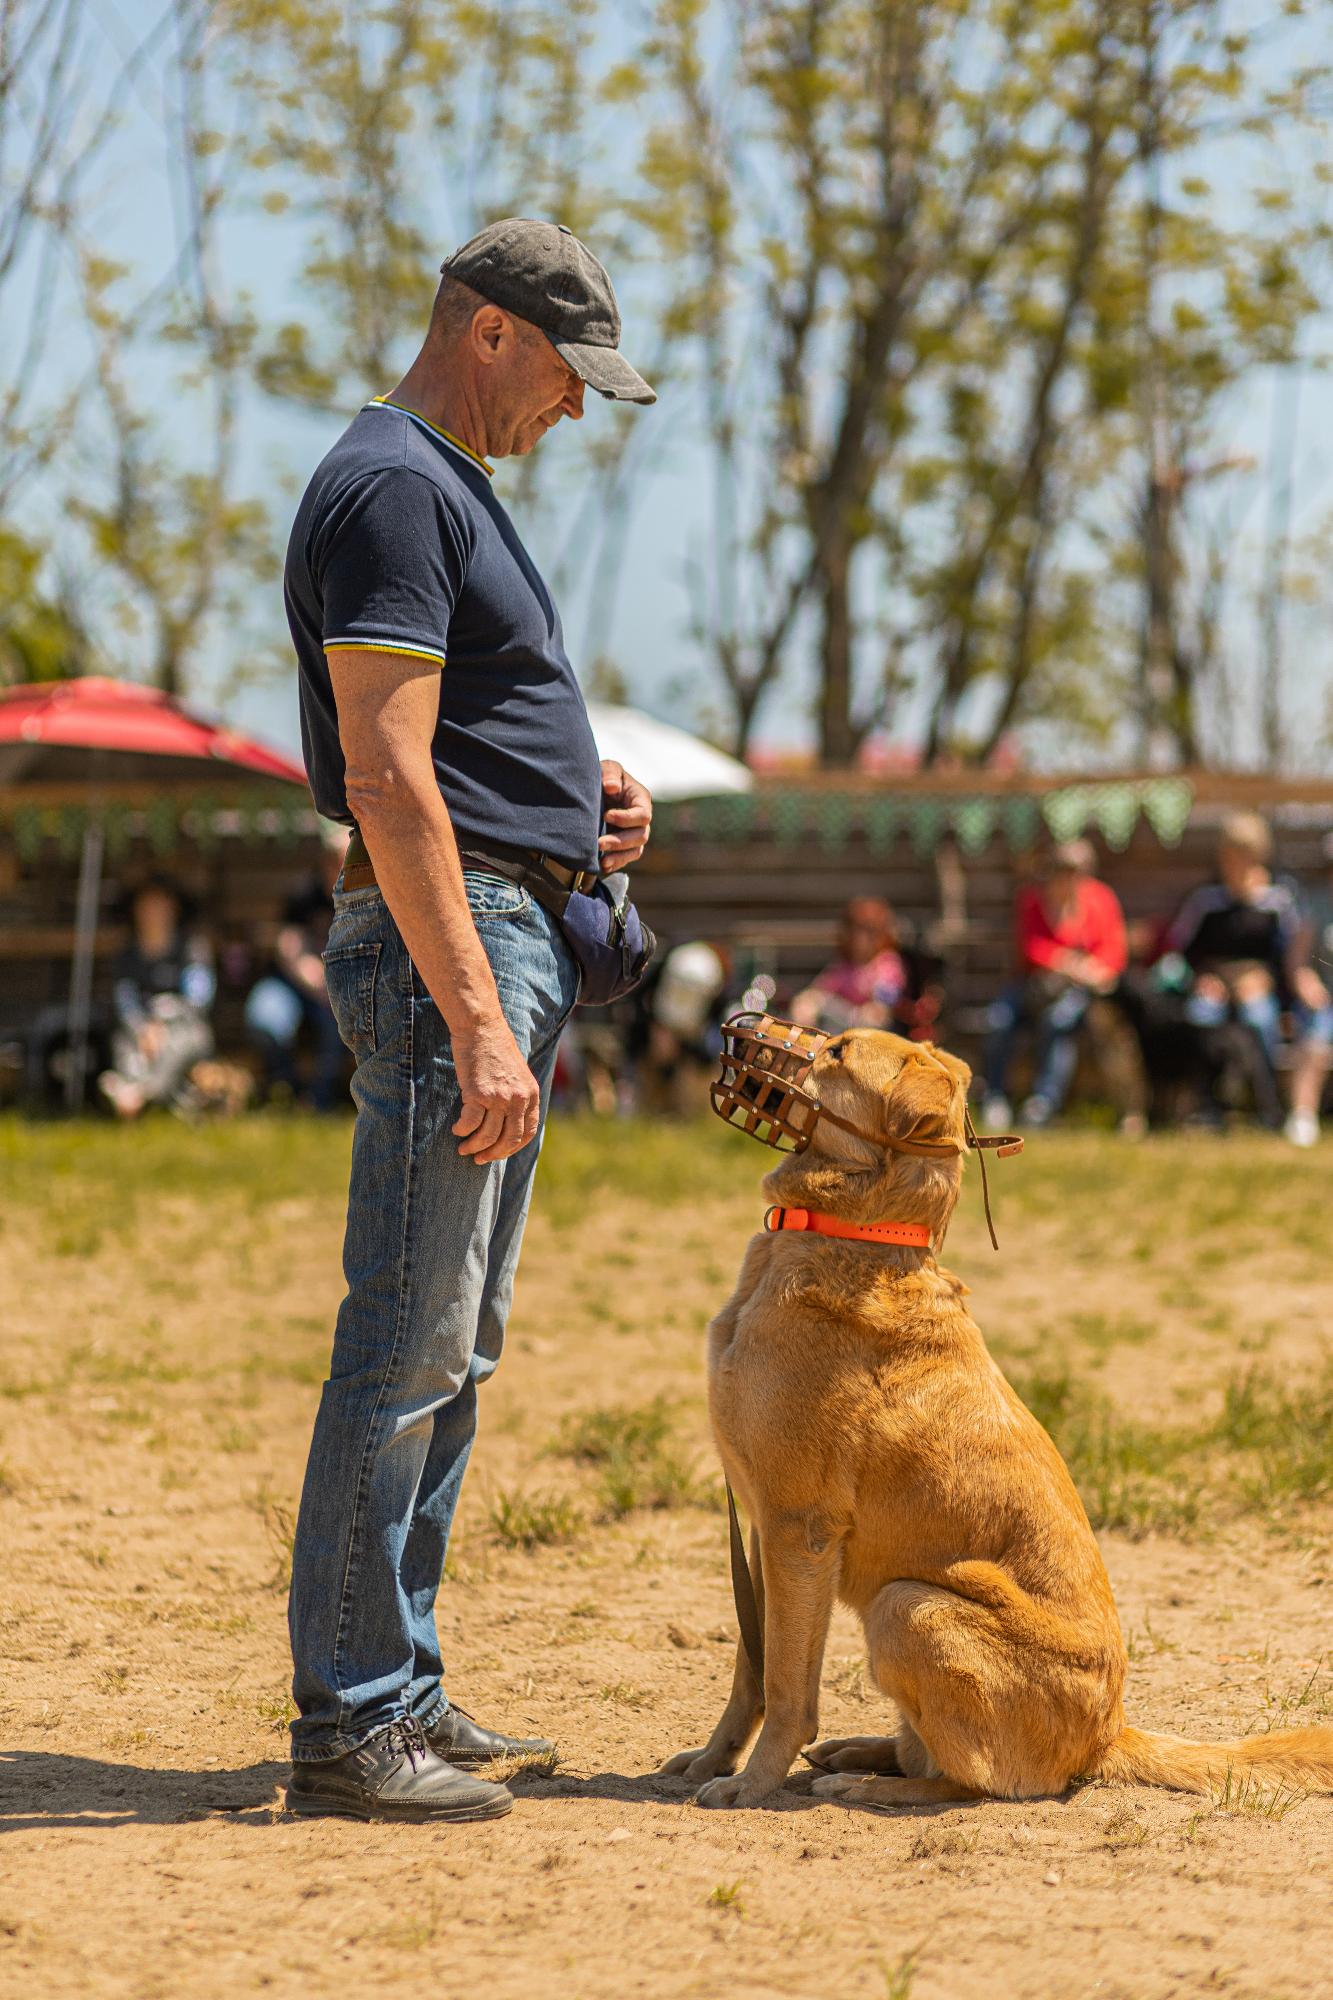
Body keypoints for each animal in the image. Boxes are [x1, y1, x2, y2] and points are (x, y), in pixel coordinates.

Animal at [660, 1032, 1328, 1816]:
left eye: (836, 1051)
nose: (726, 1034)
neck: (859, 1233)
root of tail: (1105, 1737)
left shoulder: (800, 1528)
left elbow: (787, 1684)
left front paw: (753, 1784)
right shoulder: (764, 1529)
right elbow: (748, 1668)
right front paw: (715, 1759)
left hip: (906, 1606)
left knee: (970, 1782)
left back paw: (863, 1780)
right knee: (924, 1751)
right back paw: (862, 1751)